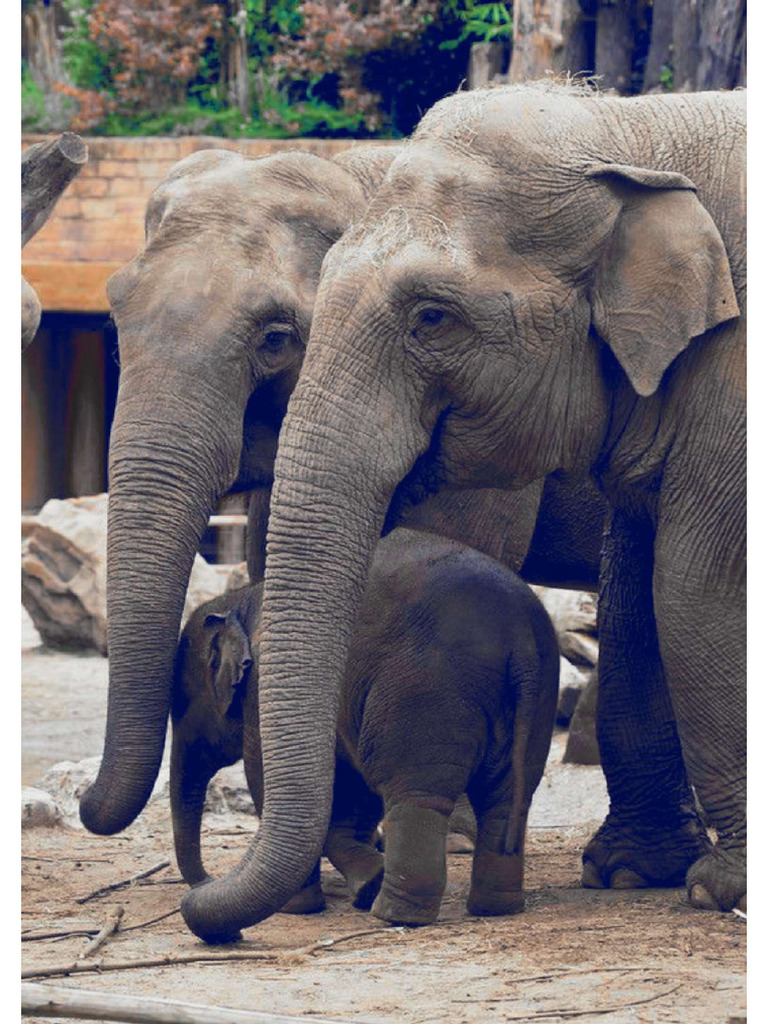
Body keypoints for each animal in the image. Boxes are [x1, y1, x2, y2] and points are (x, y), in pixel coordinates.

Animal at [172, 528, 559, 938]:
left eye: (178, 704)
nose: (203, 883)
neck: (242, 599)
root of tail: (520, 644)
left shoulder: (266, 690)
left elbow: (275, 776)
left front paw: (302, 907)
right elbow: (351, 790)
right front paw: (368, 878)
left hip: (426, 696)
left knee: (414, 793)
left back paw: (394, 915)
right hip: (535, 698)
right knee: (506, 798)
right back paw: (495, 908)